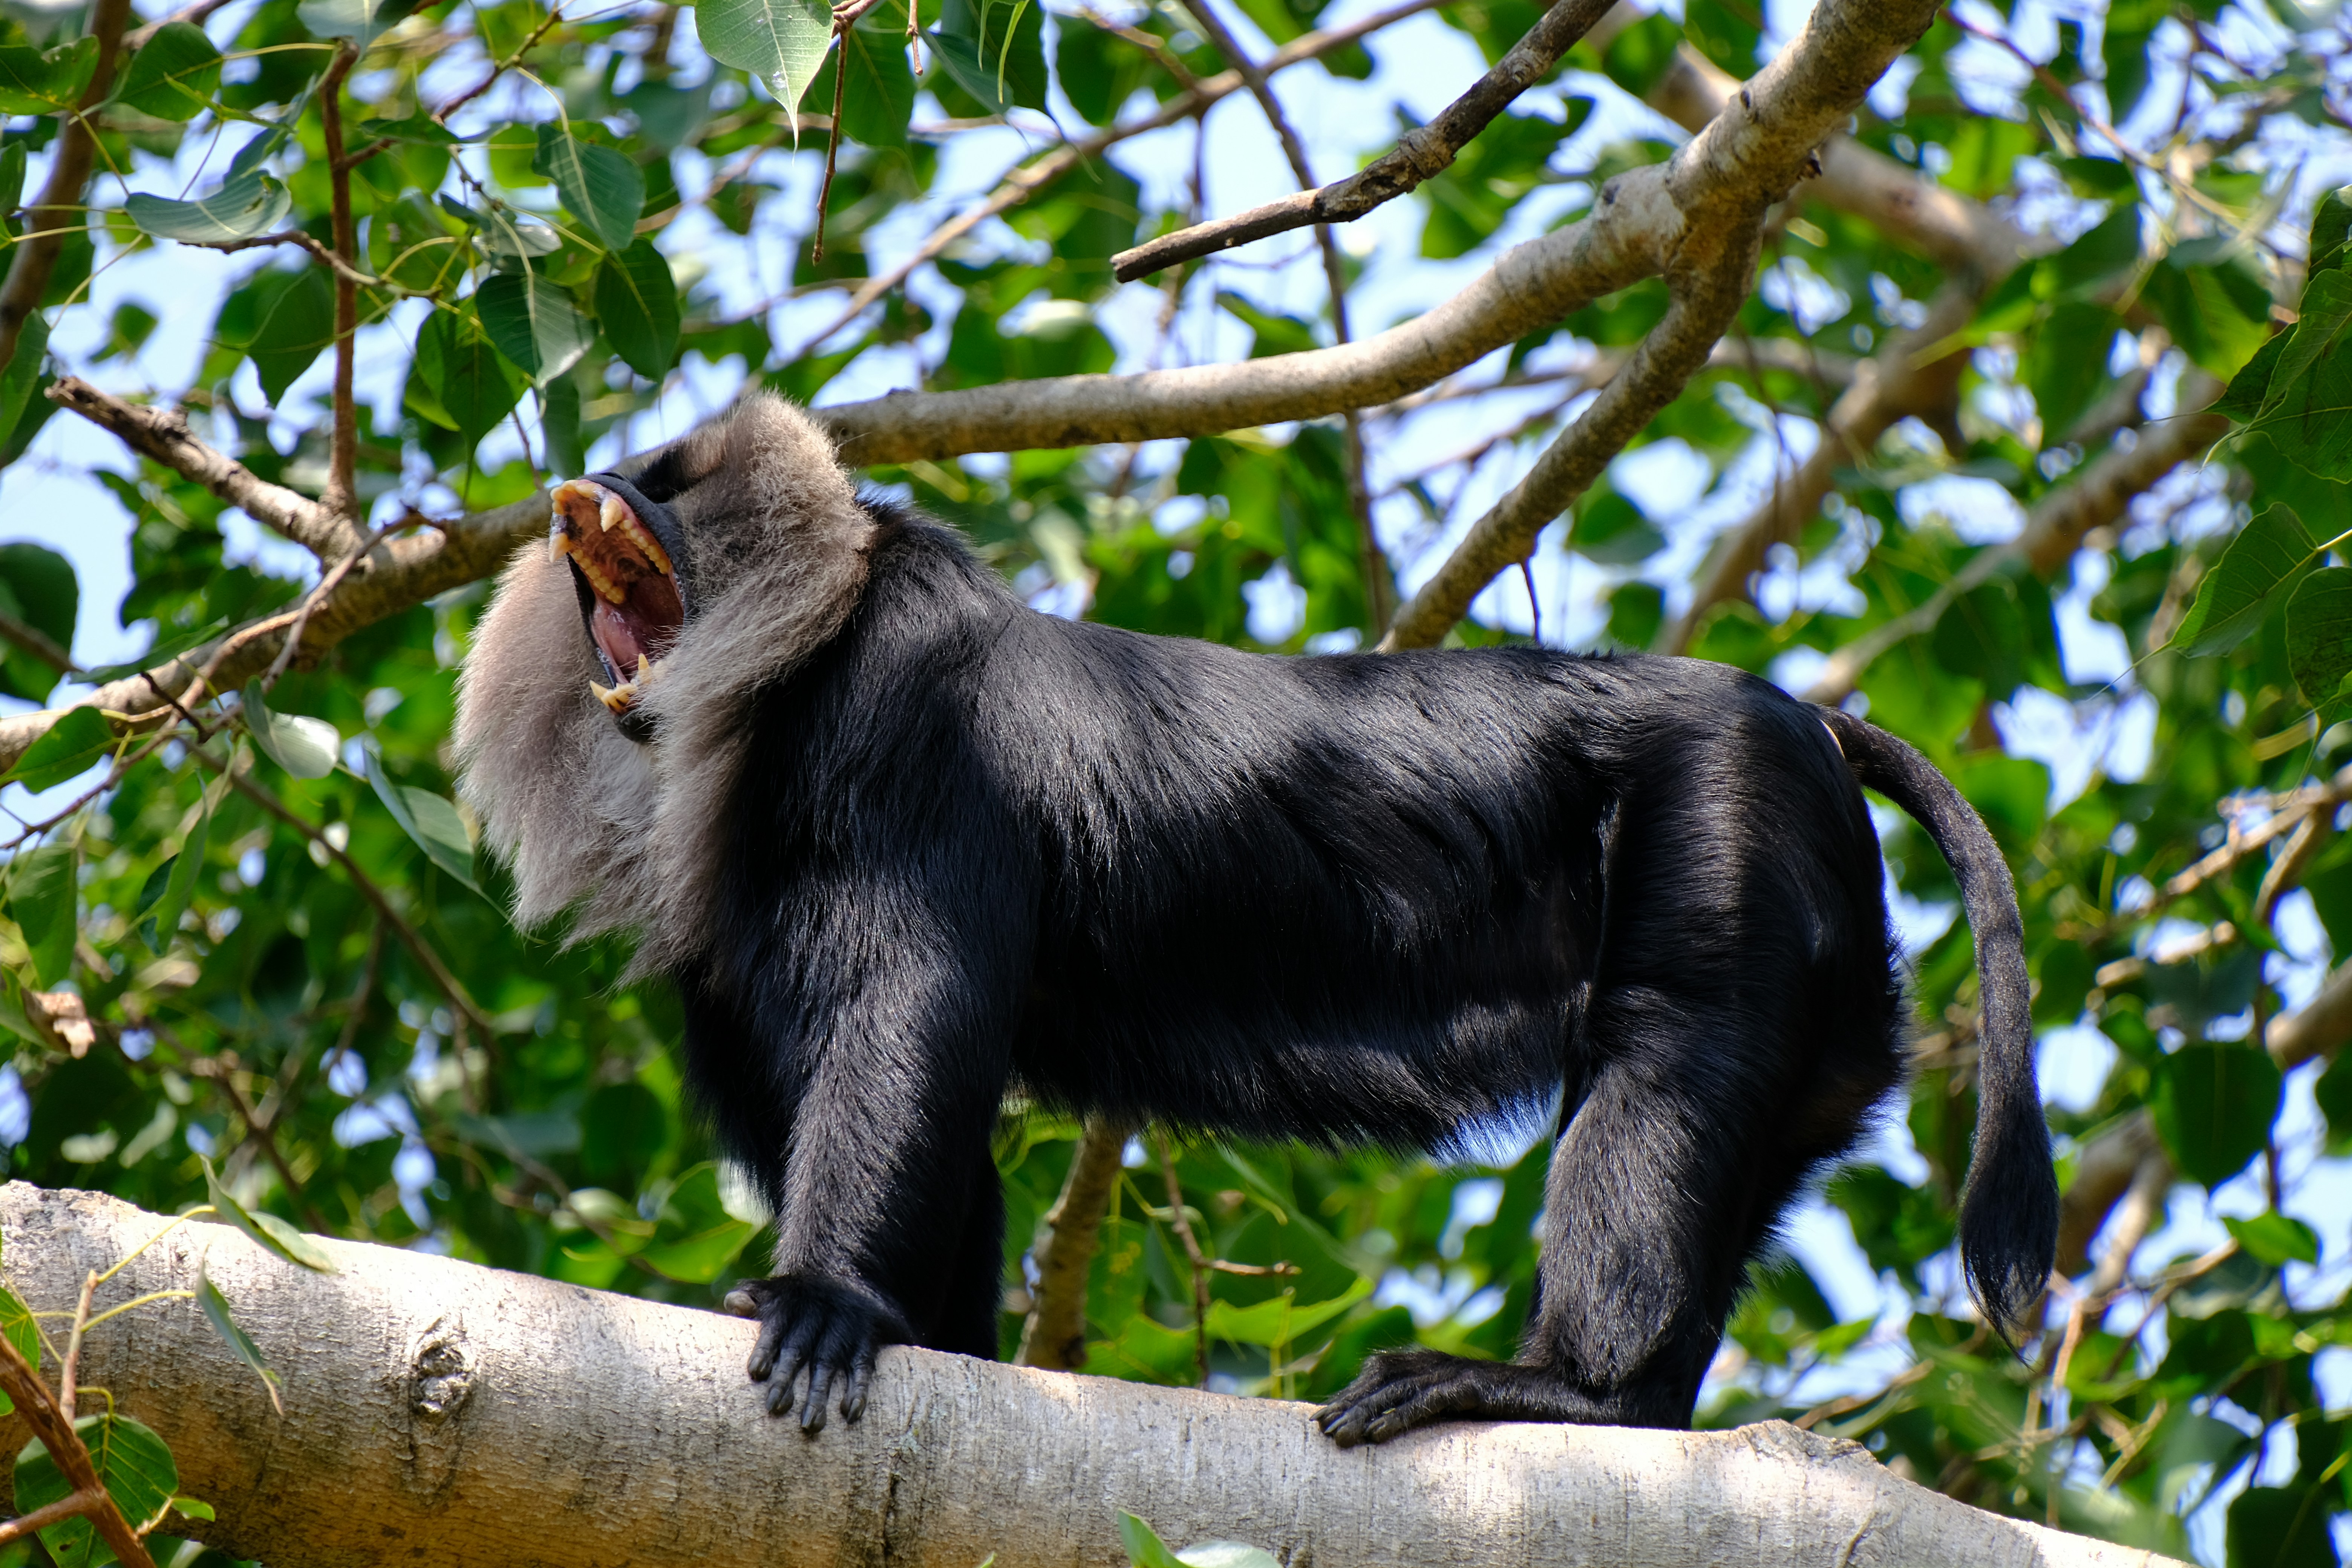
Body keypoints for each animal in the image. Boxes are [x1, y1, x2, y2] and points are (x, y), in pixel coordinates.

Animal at [455, 392, 2057, 1443]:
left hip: (1724, 808)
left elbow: (914, 1019)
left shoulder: (908, 715)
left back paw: (1564, 1389)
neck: (780, 680)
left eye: (673, 478)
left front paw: (830, 1303)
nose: (598, 488)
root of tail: (1804, 721)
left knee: (1668, 1058)